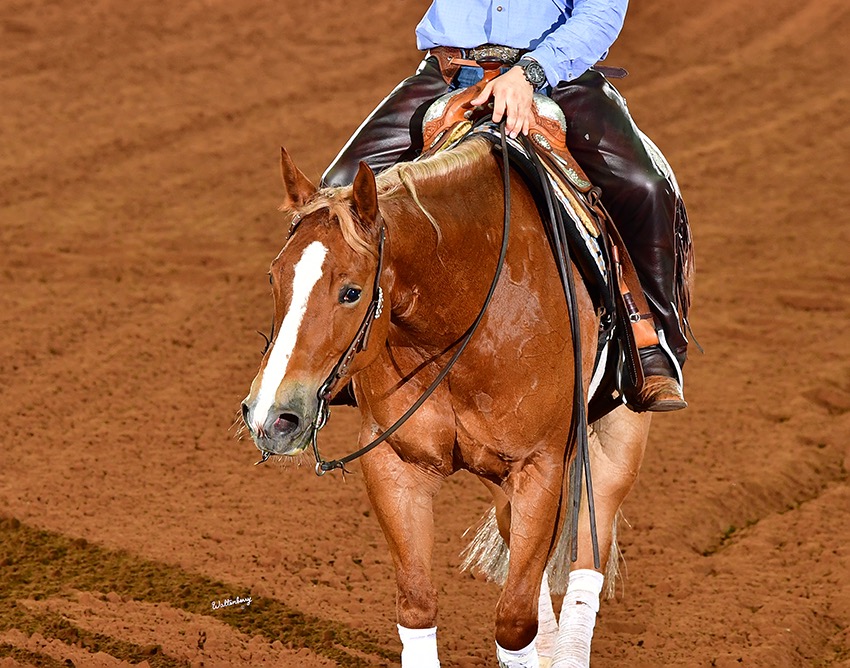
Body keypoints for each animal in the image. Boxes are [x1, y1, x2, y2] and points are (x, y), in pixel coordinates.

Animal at [240, 137, 651, 667]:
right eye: (274, 277)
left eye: (351, 292)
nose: (271, 416)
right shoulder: (394, 462)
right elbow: (417, 605)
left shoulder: (540, 465)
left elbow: (514, 620)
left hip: (618, 437)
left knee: (589, 543)